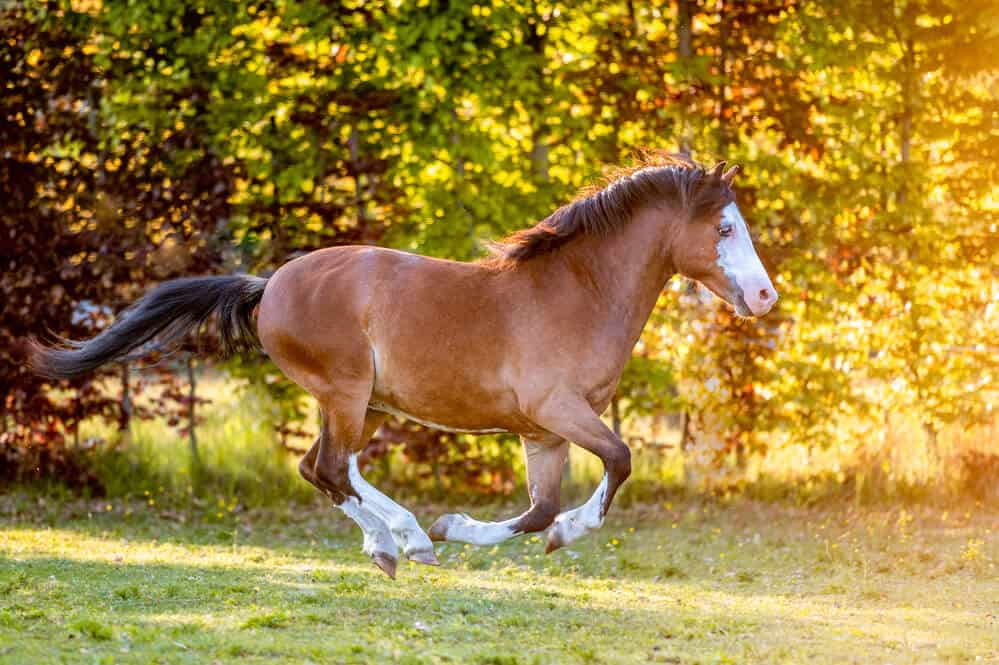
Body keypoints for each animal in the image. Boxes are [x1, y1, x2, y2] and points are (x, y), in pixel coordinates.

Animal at [31, 156, 778, 579]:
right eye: (723, 228)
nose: (766, 296)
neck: (575, 293)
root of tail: (268, 285)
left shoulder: (542, 433)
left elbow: (538, 509)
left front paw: (469, 529)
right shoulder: (557, 411)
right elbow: (618, 462)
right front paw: (540, 533)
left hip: (358, 401)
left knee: (323, 468)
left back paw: (399, 540)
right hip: (346, 389)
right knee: (329, 469)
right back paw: (404, 543)